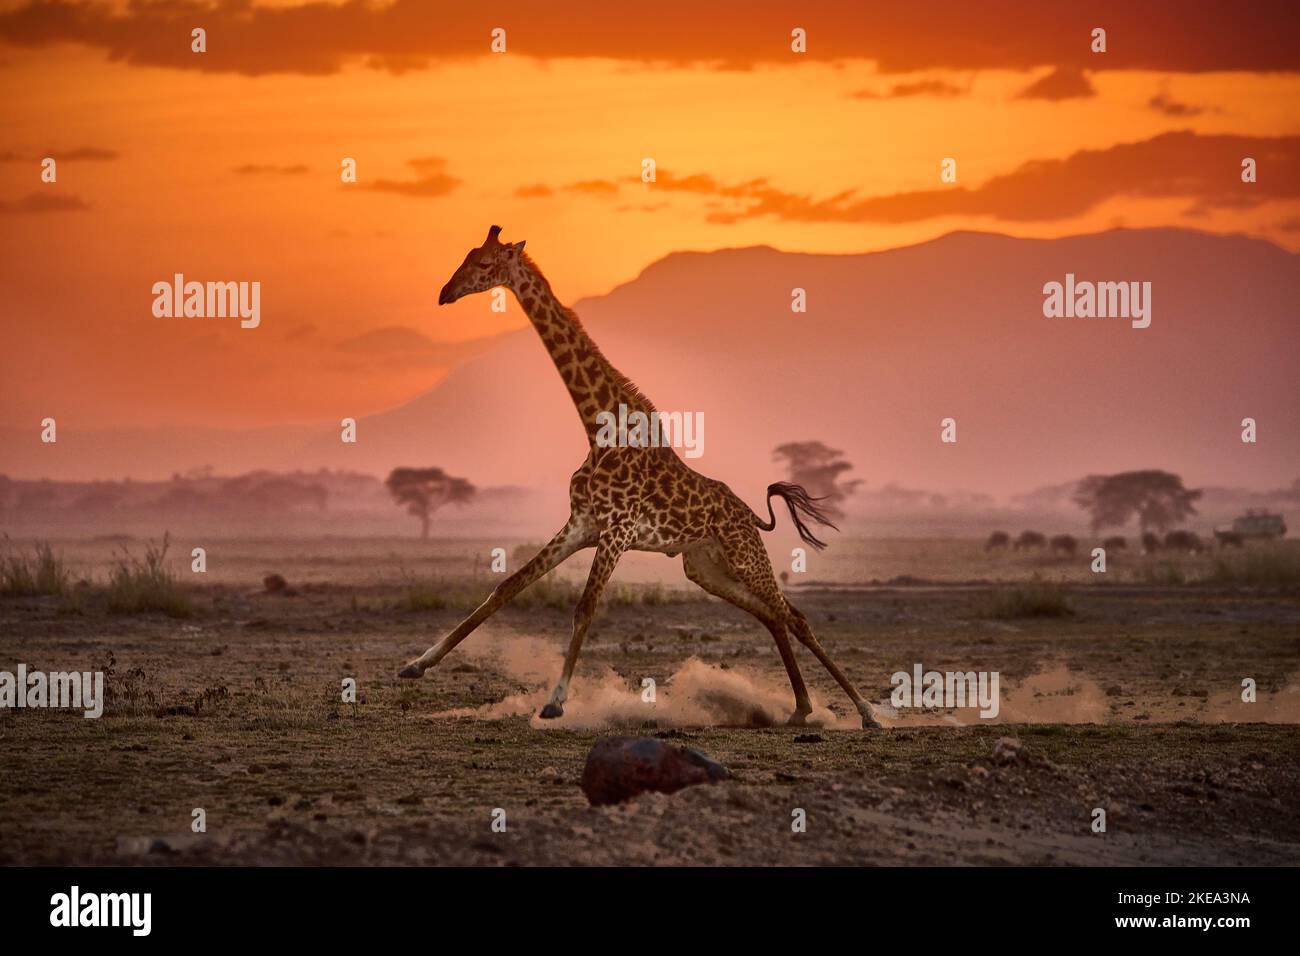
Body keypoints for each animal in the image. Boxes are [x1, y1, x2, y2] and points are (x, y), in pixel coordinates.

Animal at [398, 226, 881, 729]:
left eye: (486, 264)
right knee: (772, 616)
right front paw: (416, 664)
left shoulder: (617, 530)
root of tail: (751, 514)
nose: (445, 293)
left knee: (796, 617)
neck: (599, 430)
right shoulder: (581, 526)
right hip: (706, 567)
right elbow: (506, 586)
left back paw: (866, 712)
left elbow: (585, 607)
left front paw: (555, 702)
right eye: (468, 255)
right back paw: (801, 709)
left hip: (744, 555)